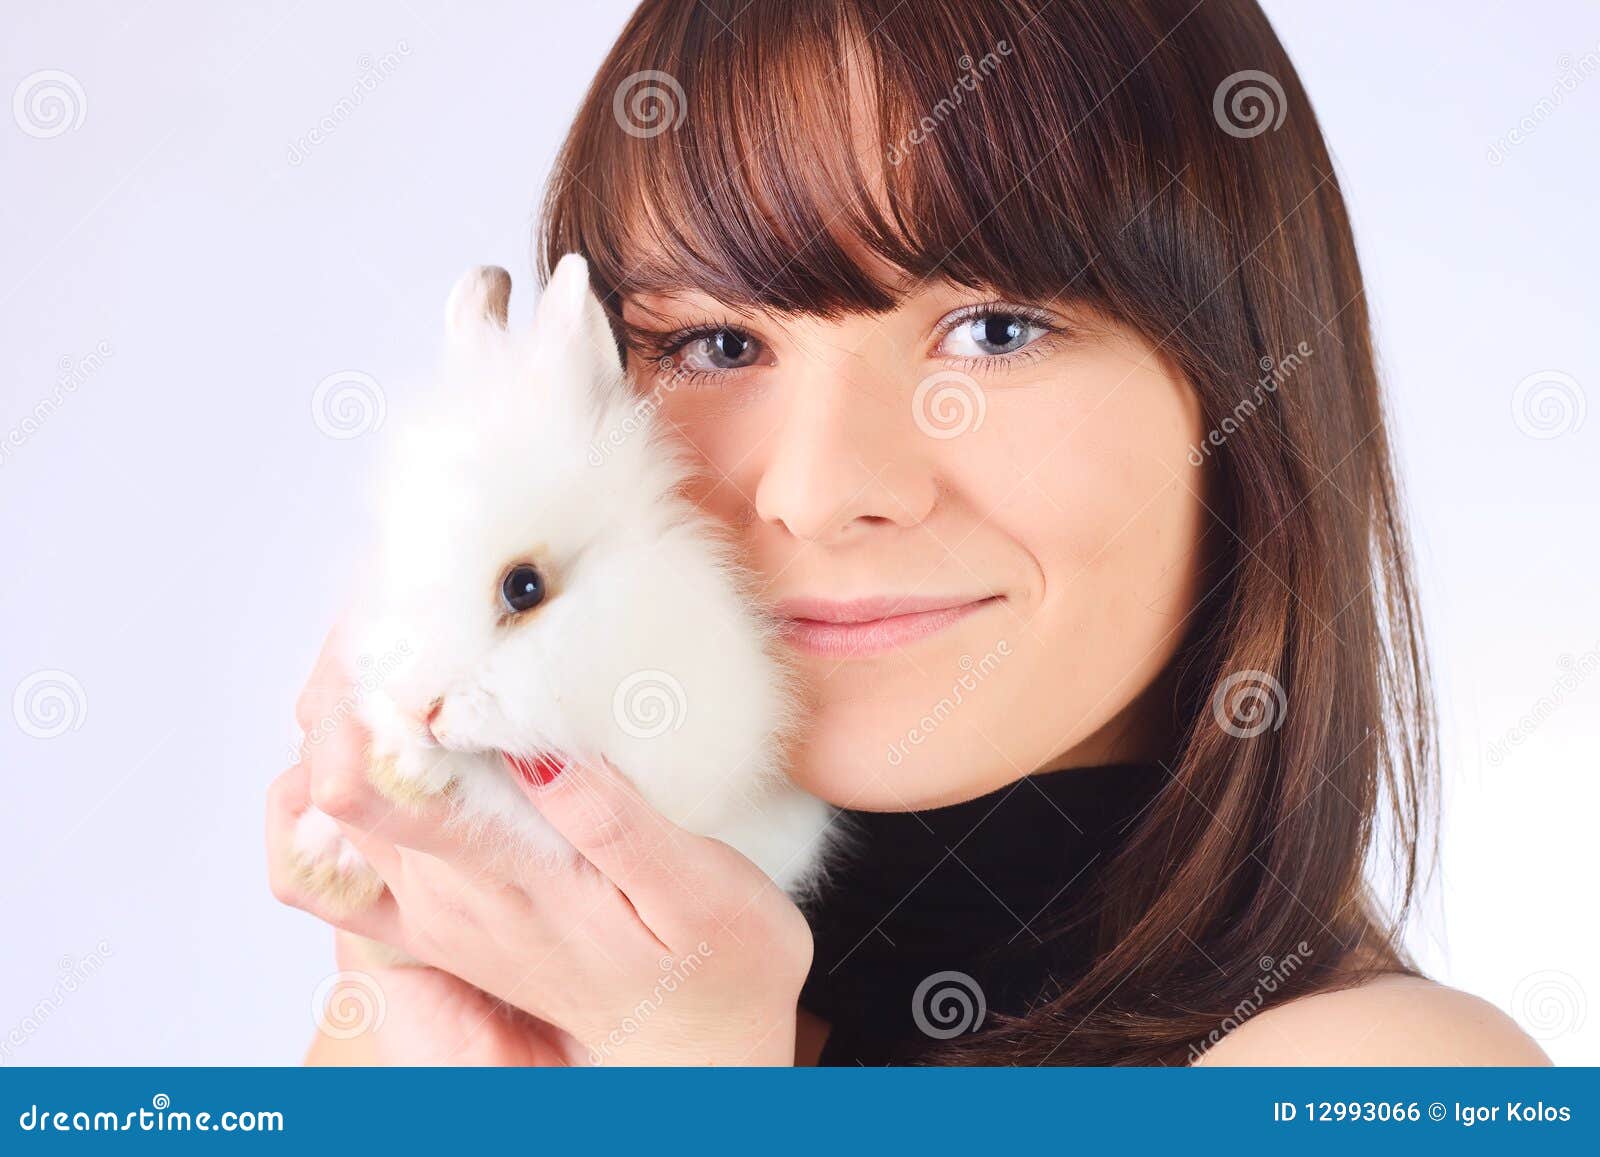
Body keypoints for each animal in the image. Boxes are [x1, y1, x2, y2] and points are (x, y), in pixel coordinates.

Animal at [289, 255, 837, 917]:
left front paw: (407, 772)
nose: (420, 708)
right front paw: (328, 849)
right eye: (389, 557)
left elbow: (512, 789)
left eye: (524, 588)